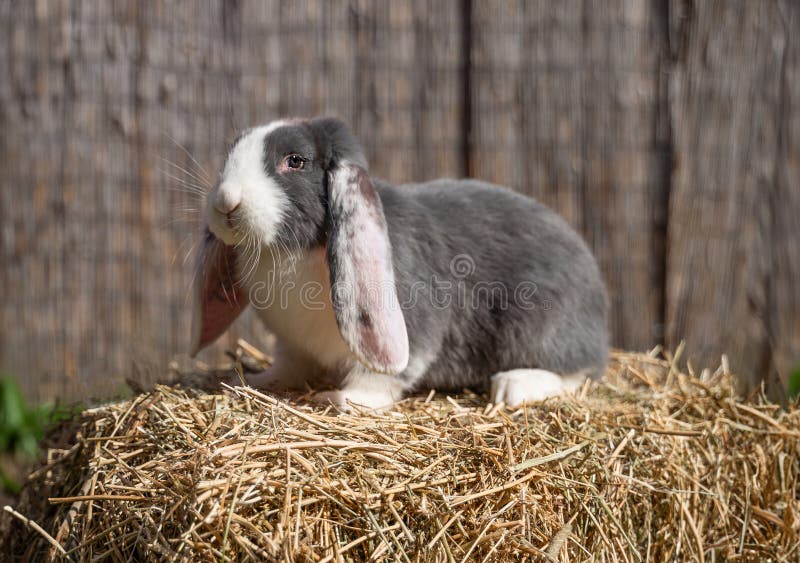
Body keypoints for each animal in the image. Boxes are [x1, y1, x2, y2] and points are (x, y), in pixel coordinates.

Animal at [191, 117, 609, 410]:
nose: (226, 202)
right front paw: (251, 381)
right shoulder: (293, 345)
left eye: (295, 161)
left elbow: (386, 374)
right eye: (230, 154)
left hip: (539, 329)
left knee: (580, 370)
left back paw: (514, 386)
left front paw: (342, 400)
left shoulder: (413, 324)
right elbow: (288, 367)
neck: (298, 250)